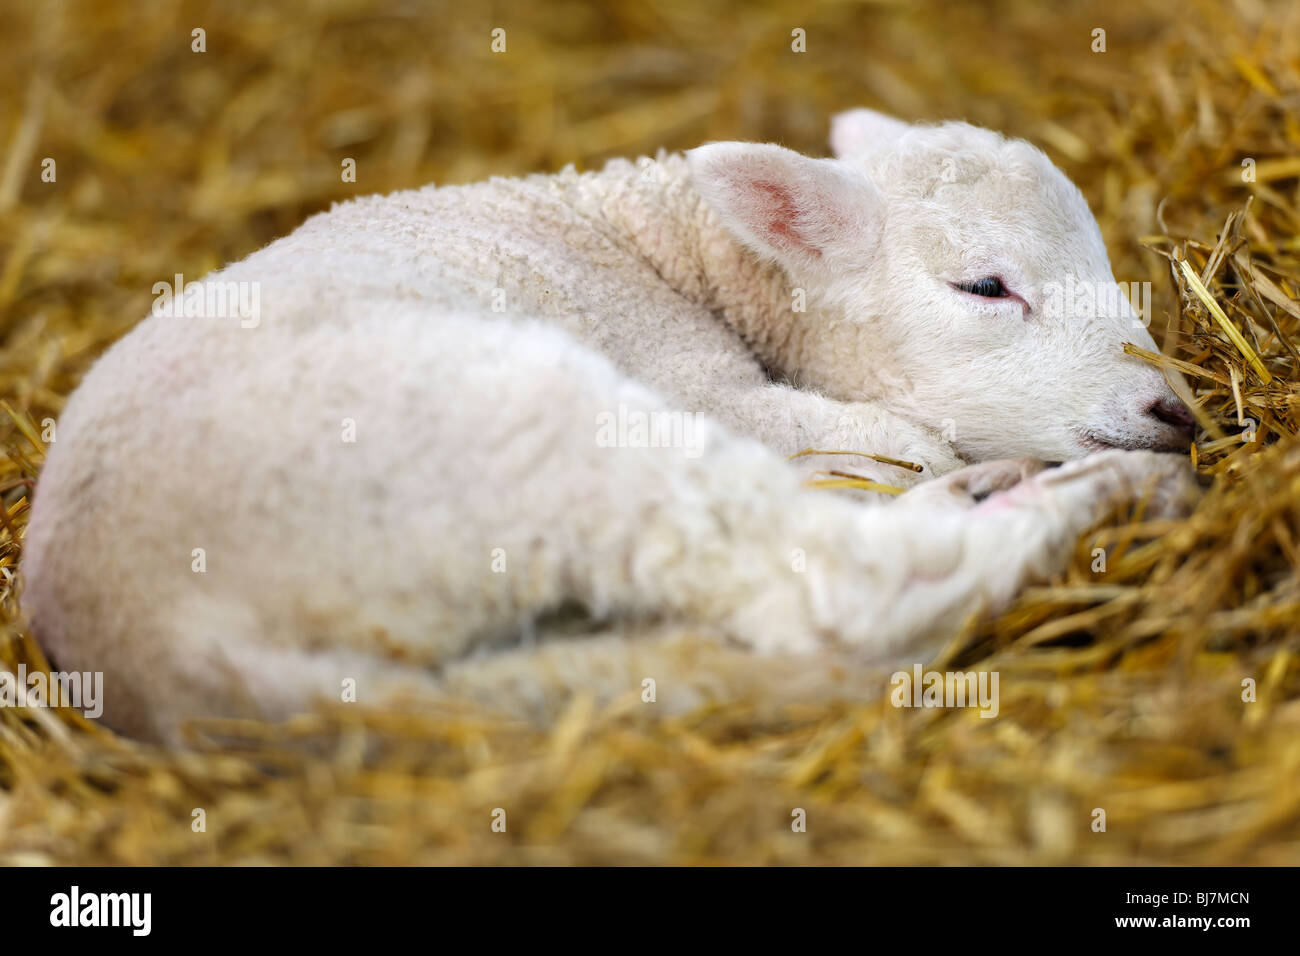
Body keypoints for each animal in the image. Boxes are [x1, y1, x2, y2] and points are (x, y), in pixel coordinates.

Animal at [20, 109, 1199, 742]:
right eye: (985, 287)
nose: (1176, 412)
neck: (677, 249)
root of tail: (157, 644)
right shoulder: (709, 387)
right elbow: (896, 440)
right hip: (531, 432)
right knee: (841, 590)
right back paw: (1108, 496)